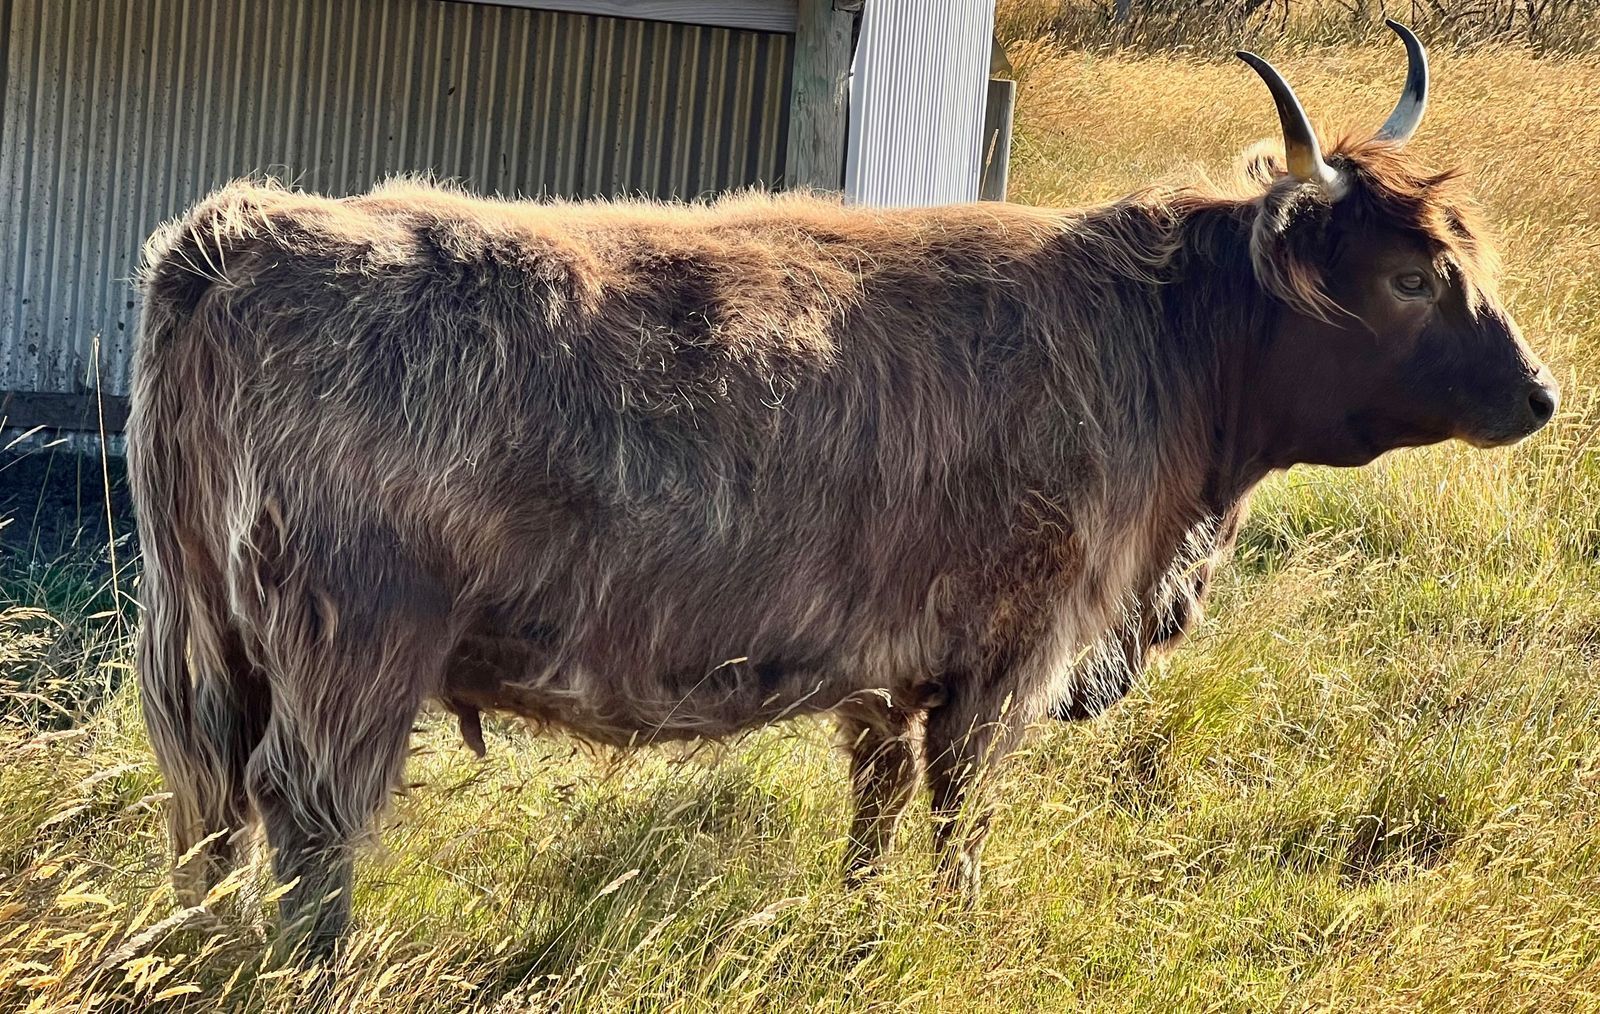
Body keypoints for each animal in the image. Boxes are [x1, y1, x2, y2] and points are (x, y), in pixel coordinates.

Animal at [129, 21, 1556, 955]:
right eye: (1410, 278)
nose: (1541, 393)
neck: (1158, 349)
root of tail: (240, 230)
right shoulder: (1011, 650)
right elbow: (959, 811)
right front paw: (958, 932)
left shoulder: (886, 655)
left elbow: (876, 802)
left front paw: (861, 918)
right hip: (353, 648)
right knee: (305, 817)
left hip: (206, 641)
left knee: (207, 809)